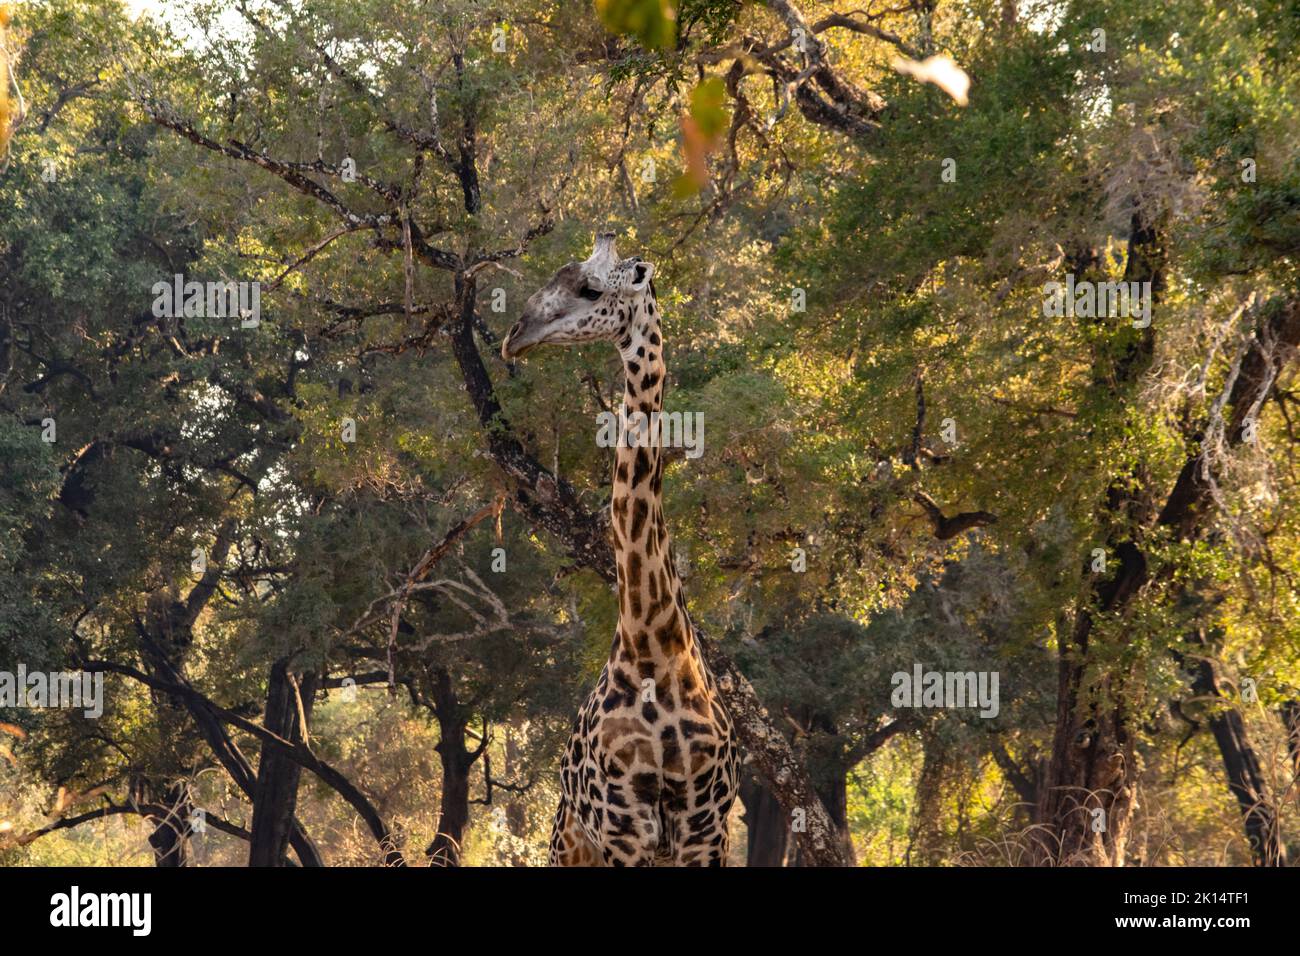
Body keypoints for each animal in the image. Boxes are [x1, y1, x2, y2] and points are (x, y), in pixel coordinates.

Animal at [501, 232, 740, 866]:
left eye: (589, 289)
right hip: (570, 843)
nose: (514, 337)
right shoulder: (623, 832)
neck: (653, 647)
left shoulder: (706, 833)